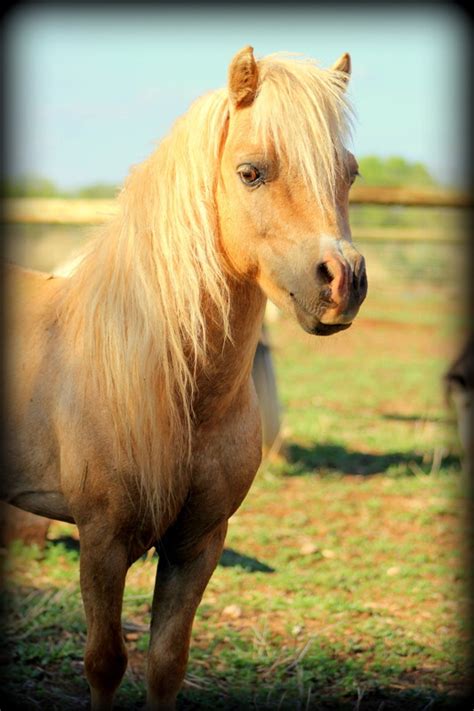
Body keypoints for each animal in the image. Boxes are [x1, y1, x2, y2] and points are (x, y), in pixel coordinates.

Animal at [2, 46, 367, 709]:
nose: (343, 282)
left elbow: (167, 661)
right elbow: (104, 662)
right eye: (250, 172)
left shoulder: (198, 544)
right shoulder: (103, 540)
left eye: (349, 173)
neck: (182, 393)